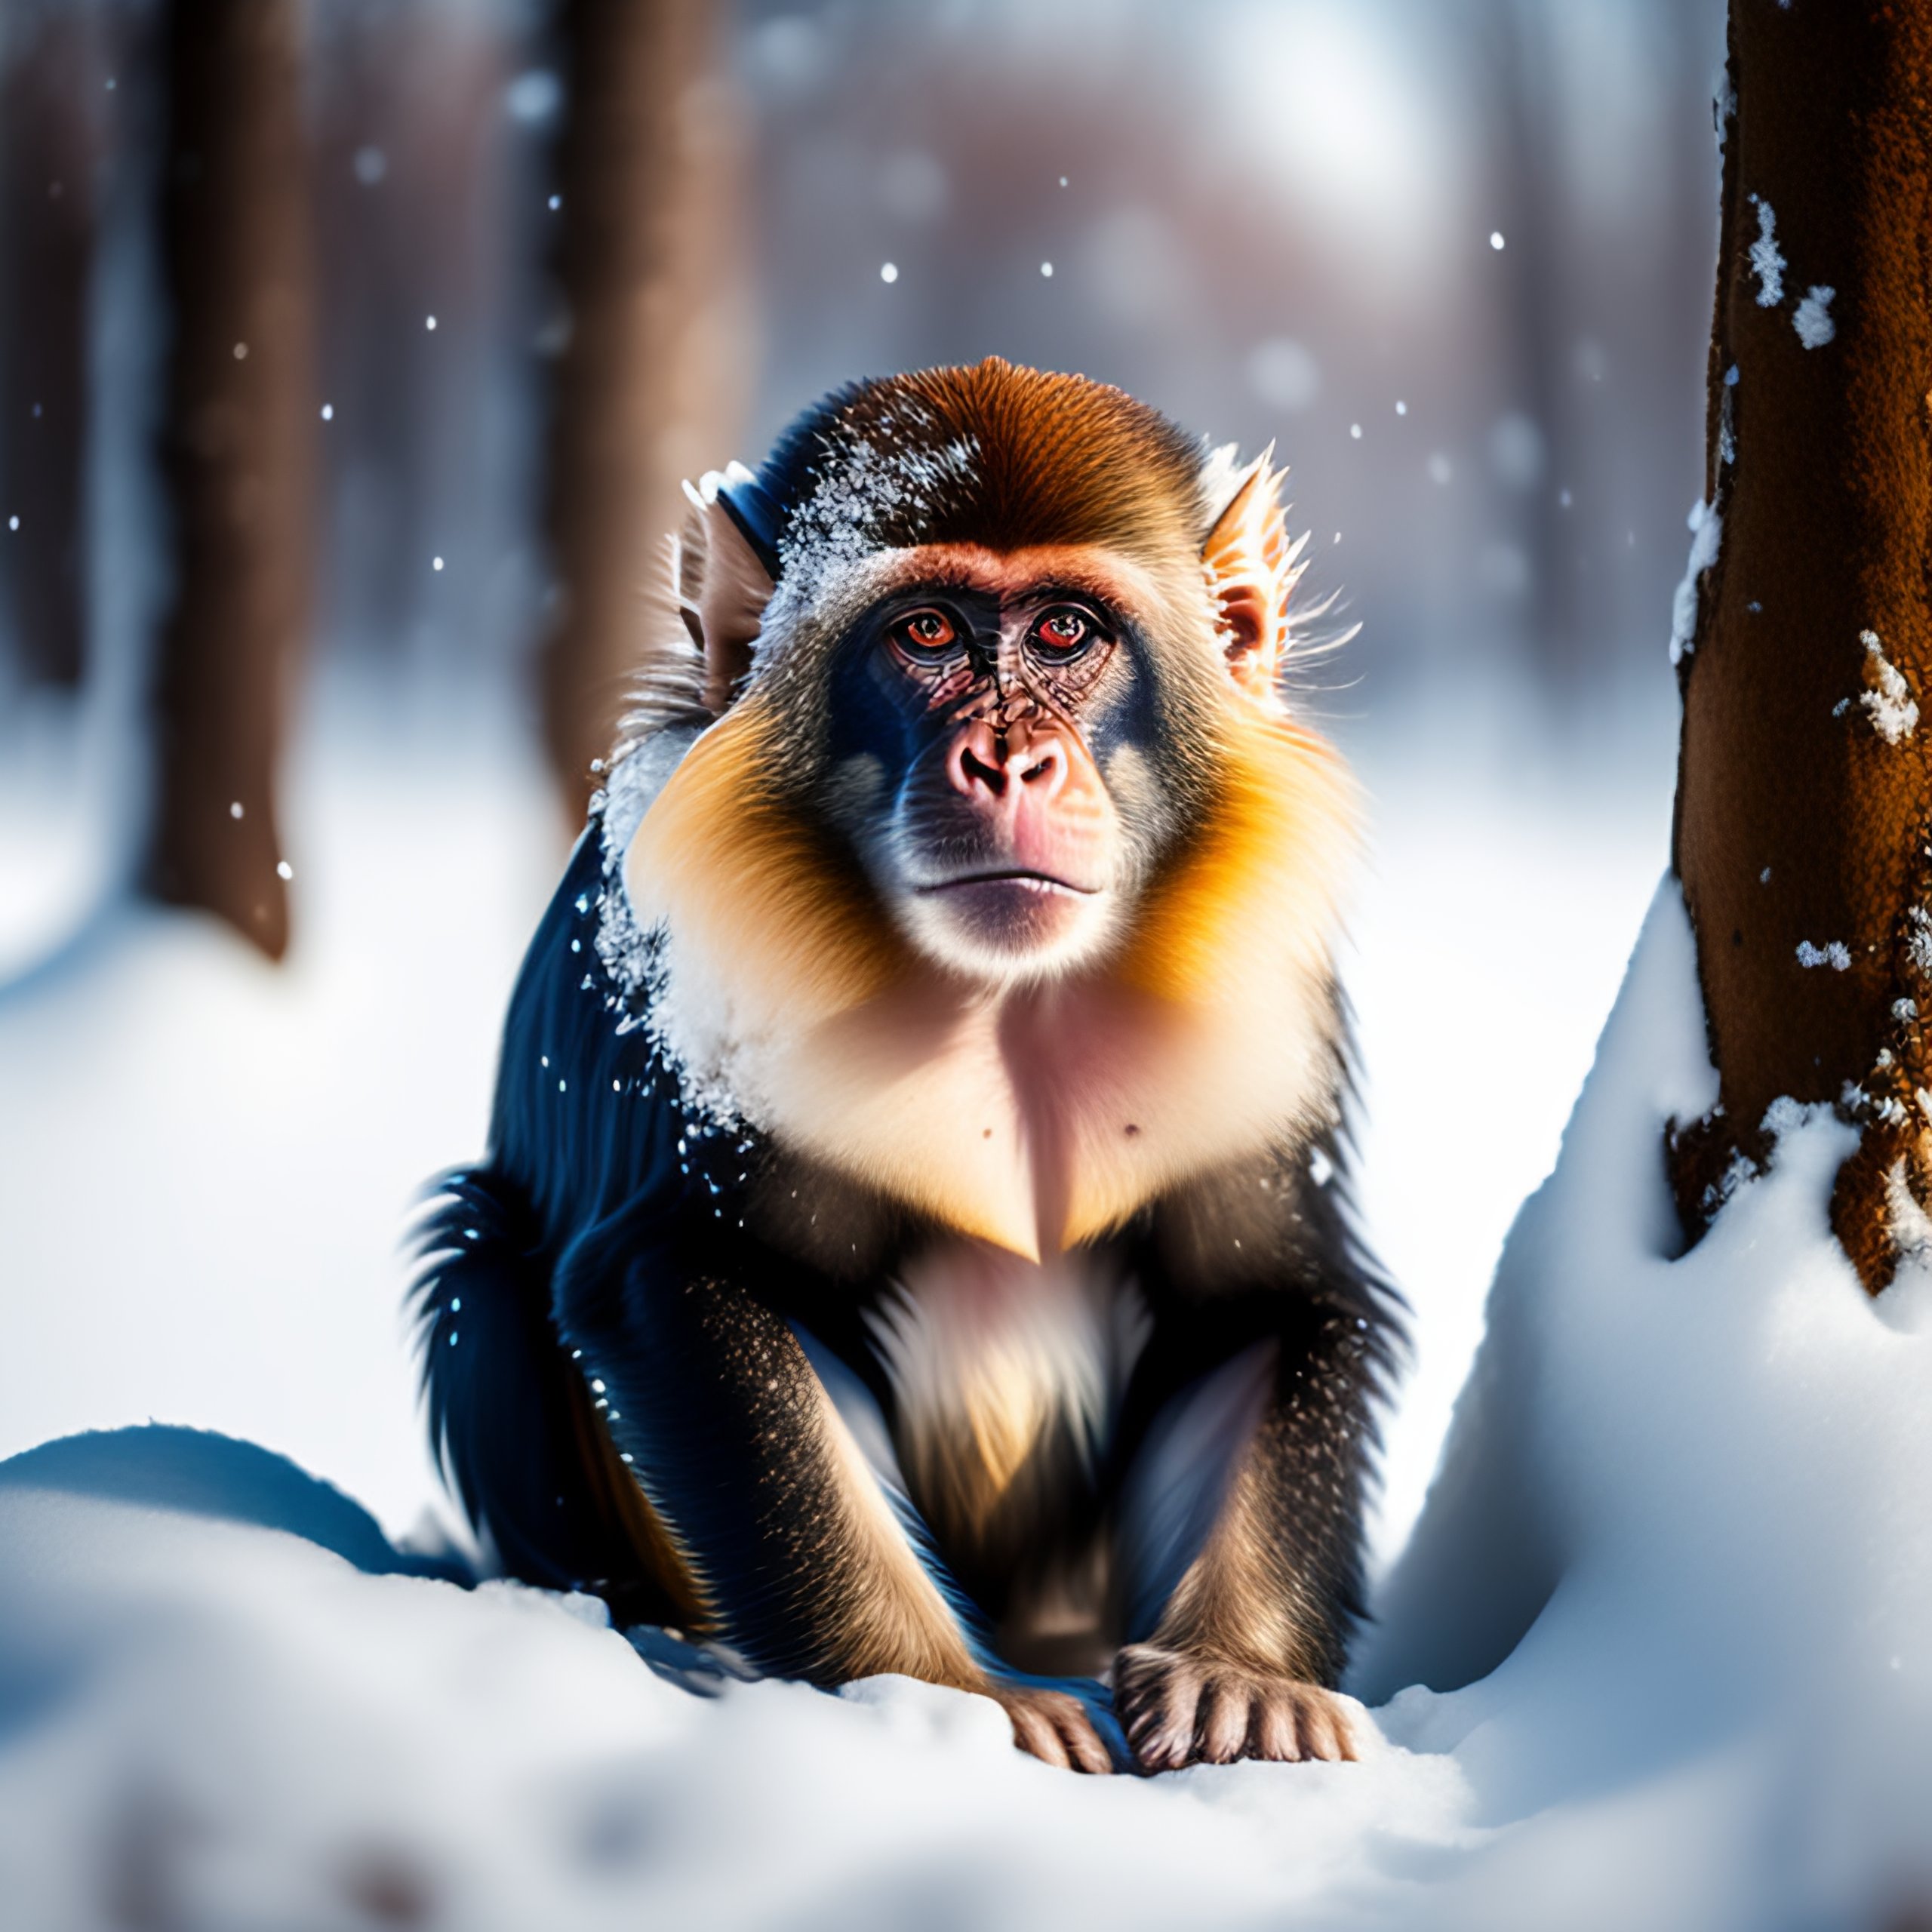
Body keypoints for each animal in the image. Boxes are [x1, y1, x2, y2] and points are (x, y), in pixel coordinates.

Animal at [413, 359, 1400, 1774]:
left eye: (1063, 633)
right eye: (927, 633)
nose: (1007, 758)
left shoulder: (1268, 1002)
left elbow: (1261, 1305)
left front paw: (1239, 1674)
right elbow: (670, 1278)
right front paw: (950, 1699)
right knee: (485, 1261)